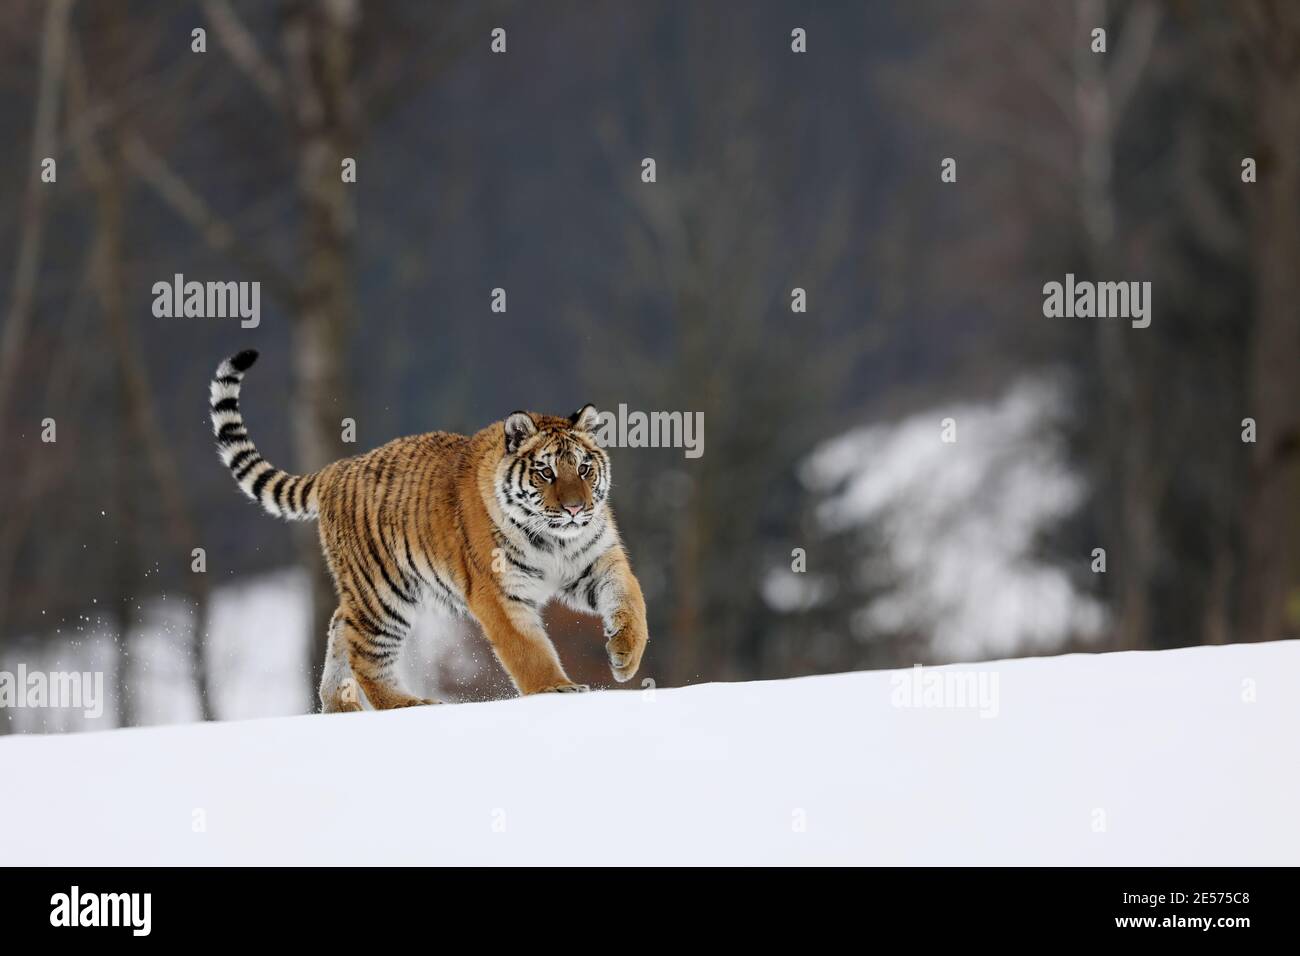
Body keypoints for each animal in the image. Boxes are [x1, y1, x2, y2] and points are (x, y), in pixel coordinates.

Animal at [208, 349, 649, 712]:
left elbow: (630, 598)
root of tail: (337, 469)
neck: (556, 539)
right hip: (382, 594)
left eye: (584, 469)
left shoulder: (596, 562)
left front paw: (624, 656)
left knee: (339, 626)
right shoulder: (497, 590)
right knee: (365, 655)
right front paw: (555, 689)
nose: (576, 508)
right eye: (546, 472)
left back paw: (341, 709)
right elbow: (527, 649)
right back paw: (409, 704)